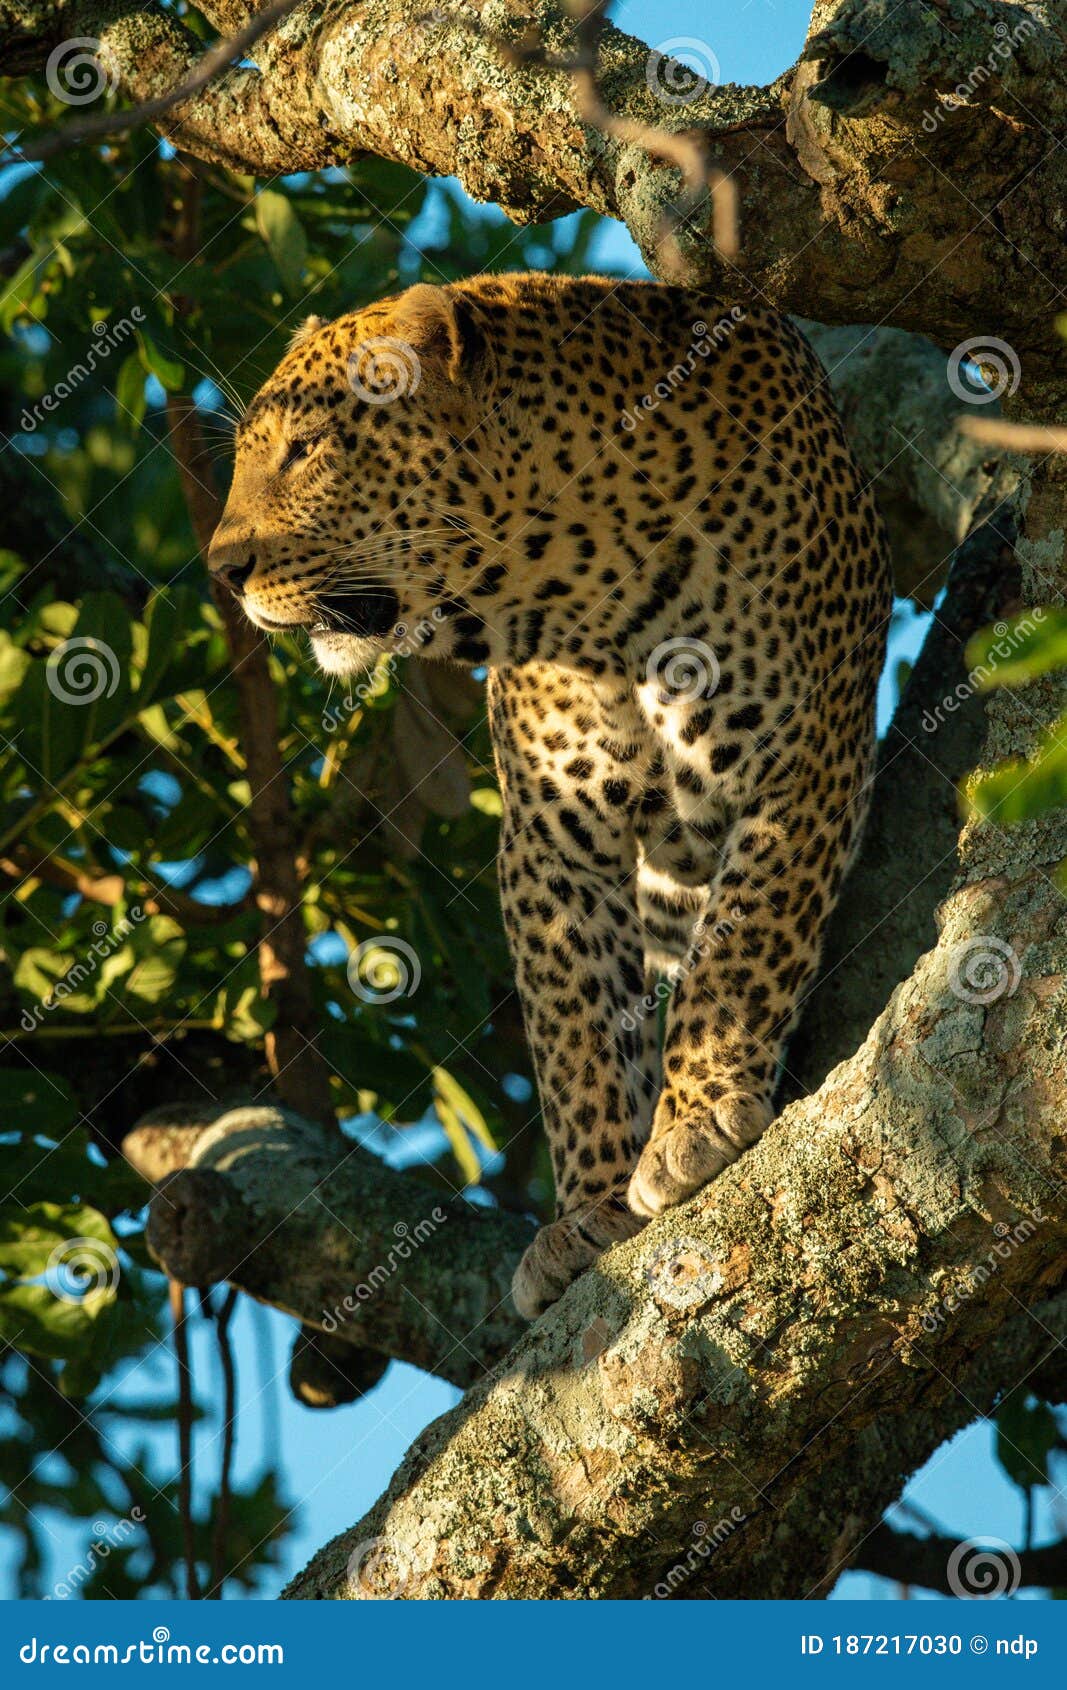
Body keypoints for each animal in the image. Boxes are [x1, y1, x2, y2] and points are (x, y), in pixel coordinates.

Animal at [207, 271, 892, 1321]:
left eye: (309, 448)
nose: (220, 569)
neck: (590, 600)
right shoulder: (550, 842)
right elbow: (578, 1038)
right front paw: (588, 1213)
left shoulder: (798, 751)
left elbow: (744, 946)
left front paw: (694, 1120)